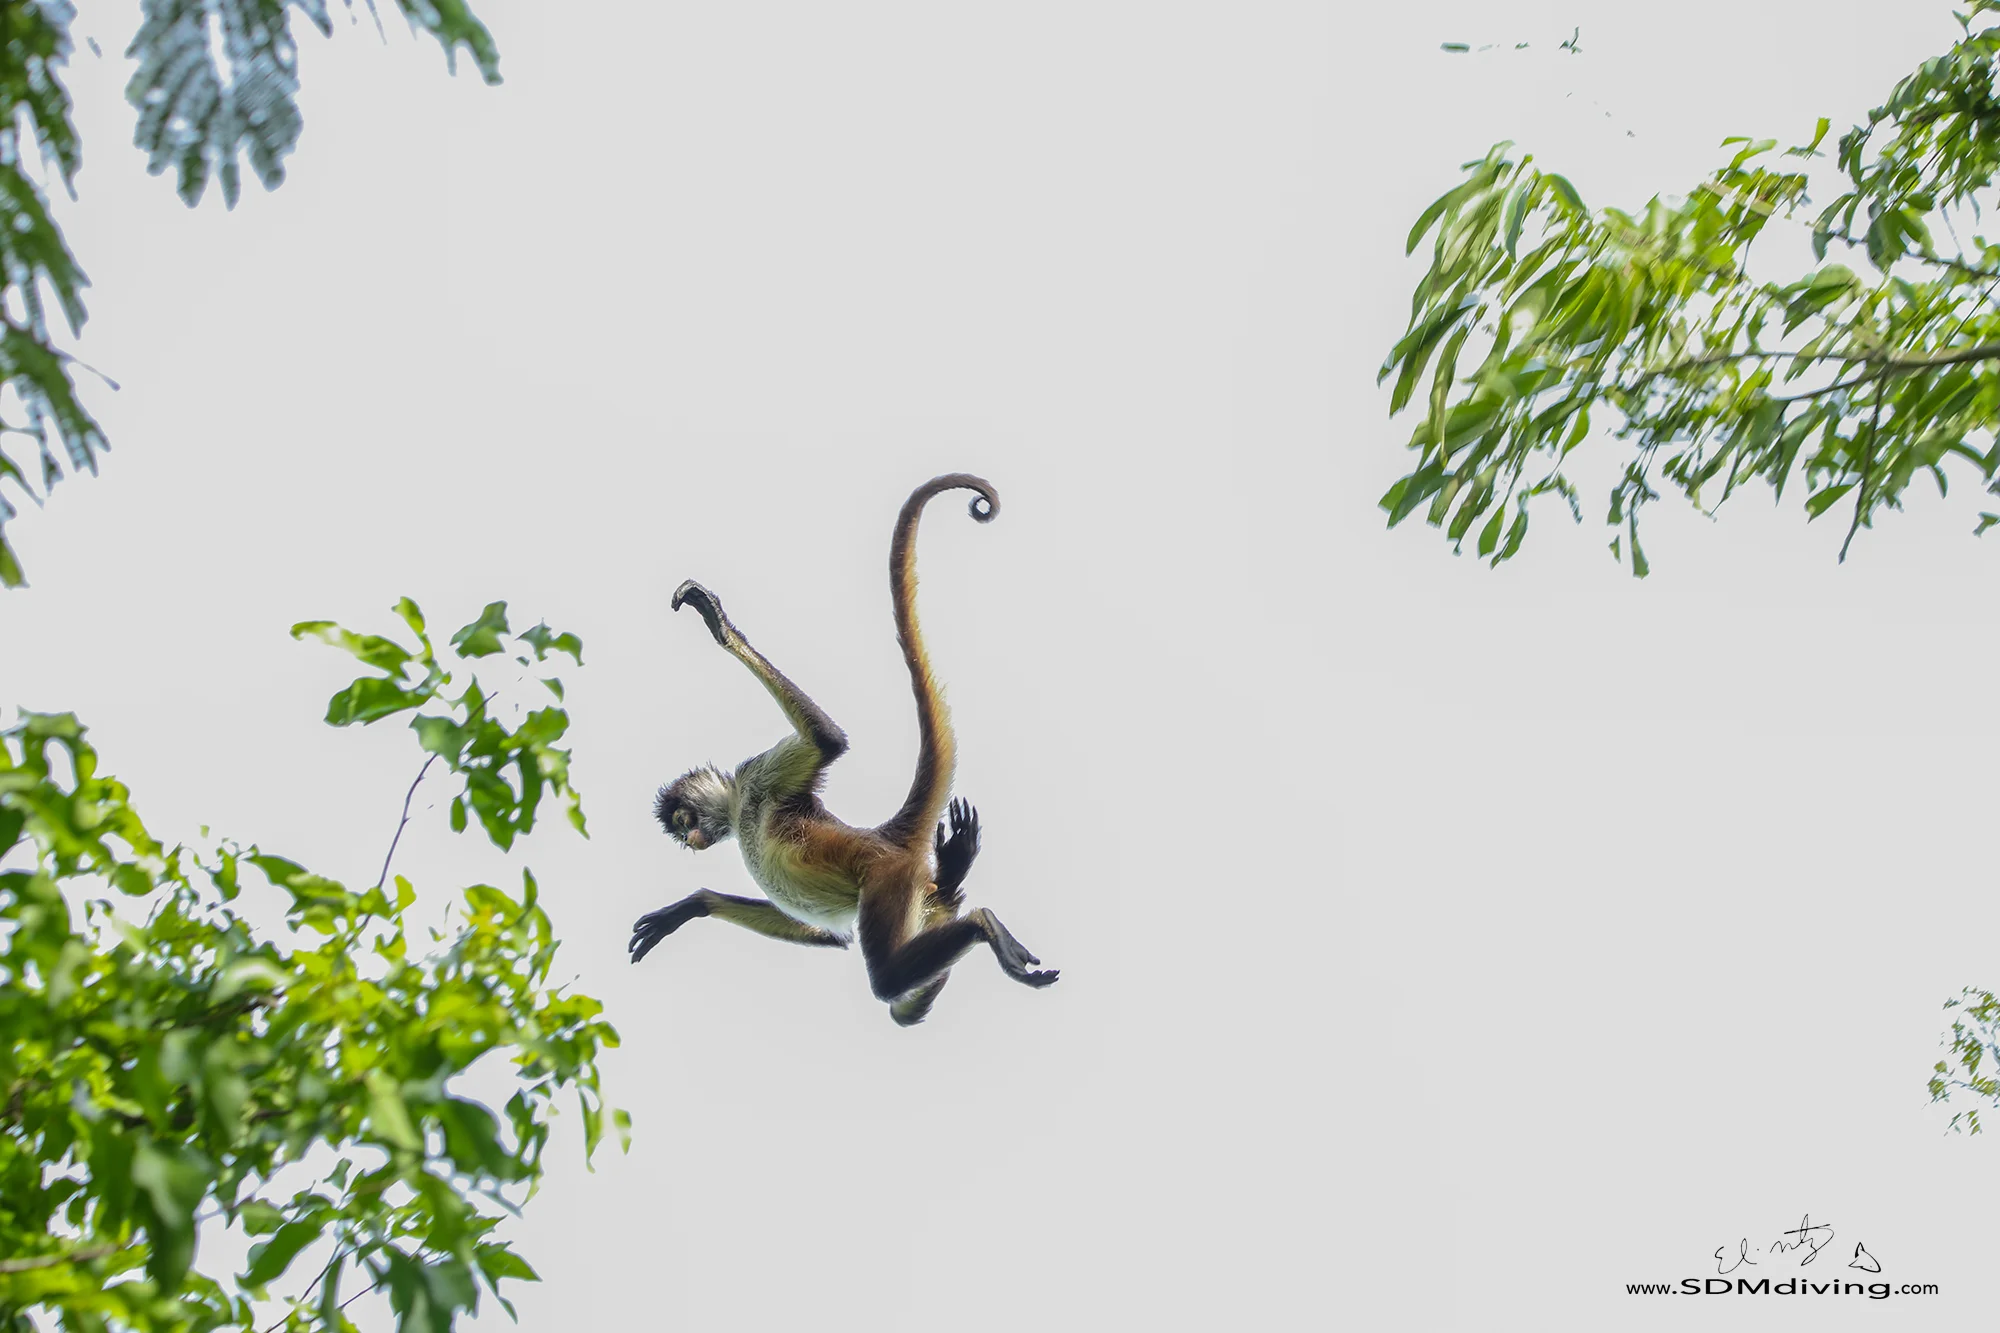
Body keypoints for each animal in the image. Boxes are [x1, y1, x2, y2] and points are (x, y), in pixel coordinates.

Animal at [630, 473, 1057, 1026]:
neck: (742, 811)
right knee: (904, 1001)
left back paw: (983, 923)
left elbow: (828, 741)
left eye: (683, 823)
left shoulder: (757, 775)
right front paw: (694, 904)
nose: (693, 841)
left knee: (890, 981)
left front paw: (720, 625)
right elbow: (830, 935)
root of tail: (885, 836)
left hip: (885, 881)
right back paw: (955, 876)